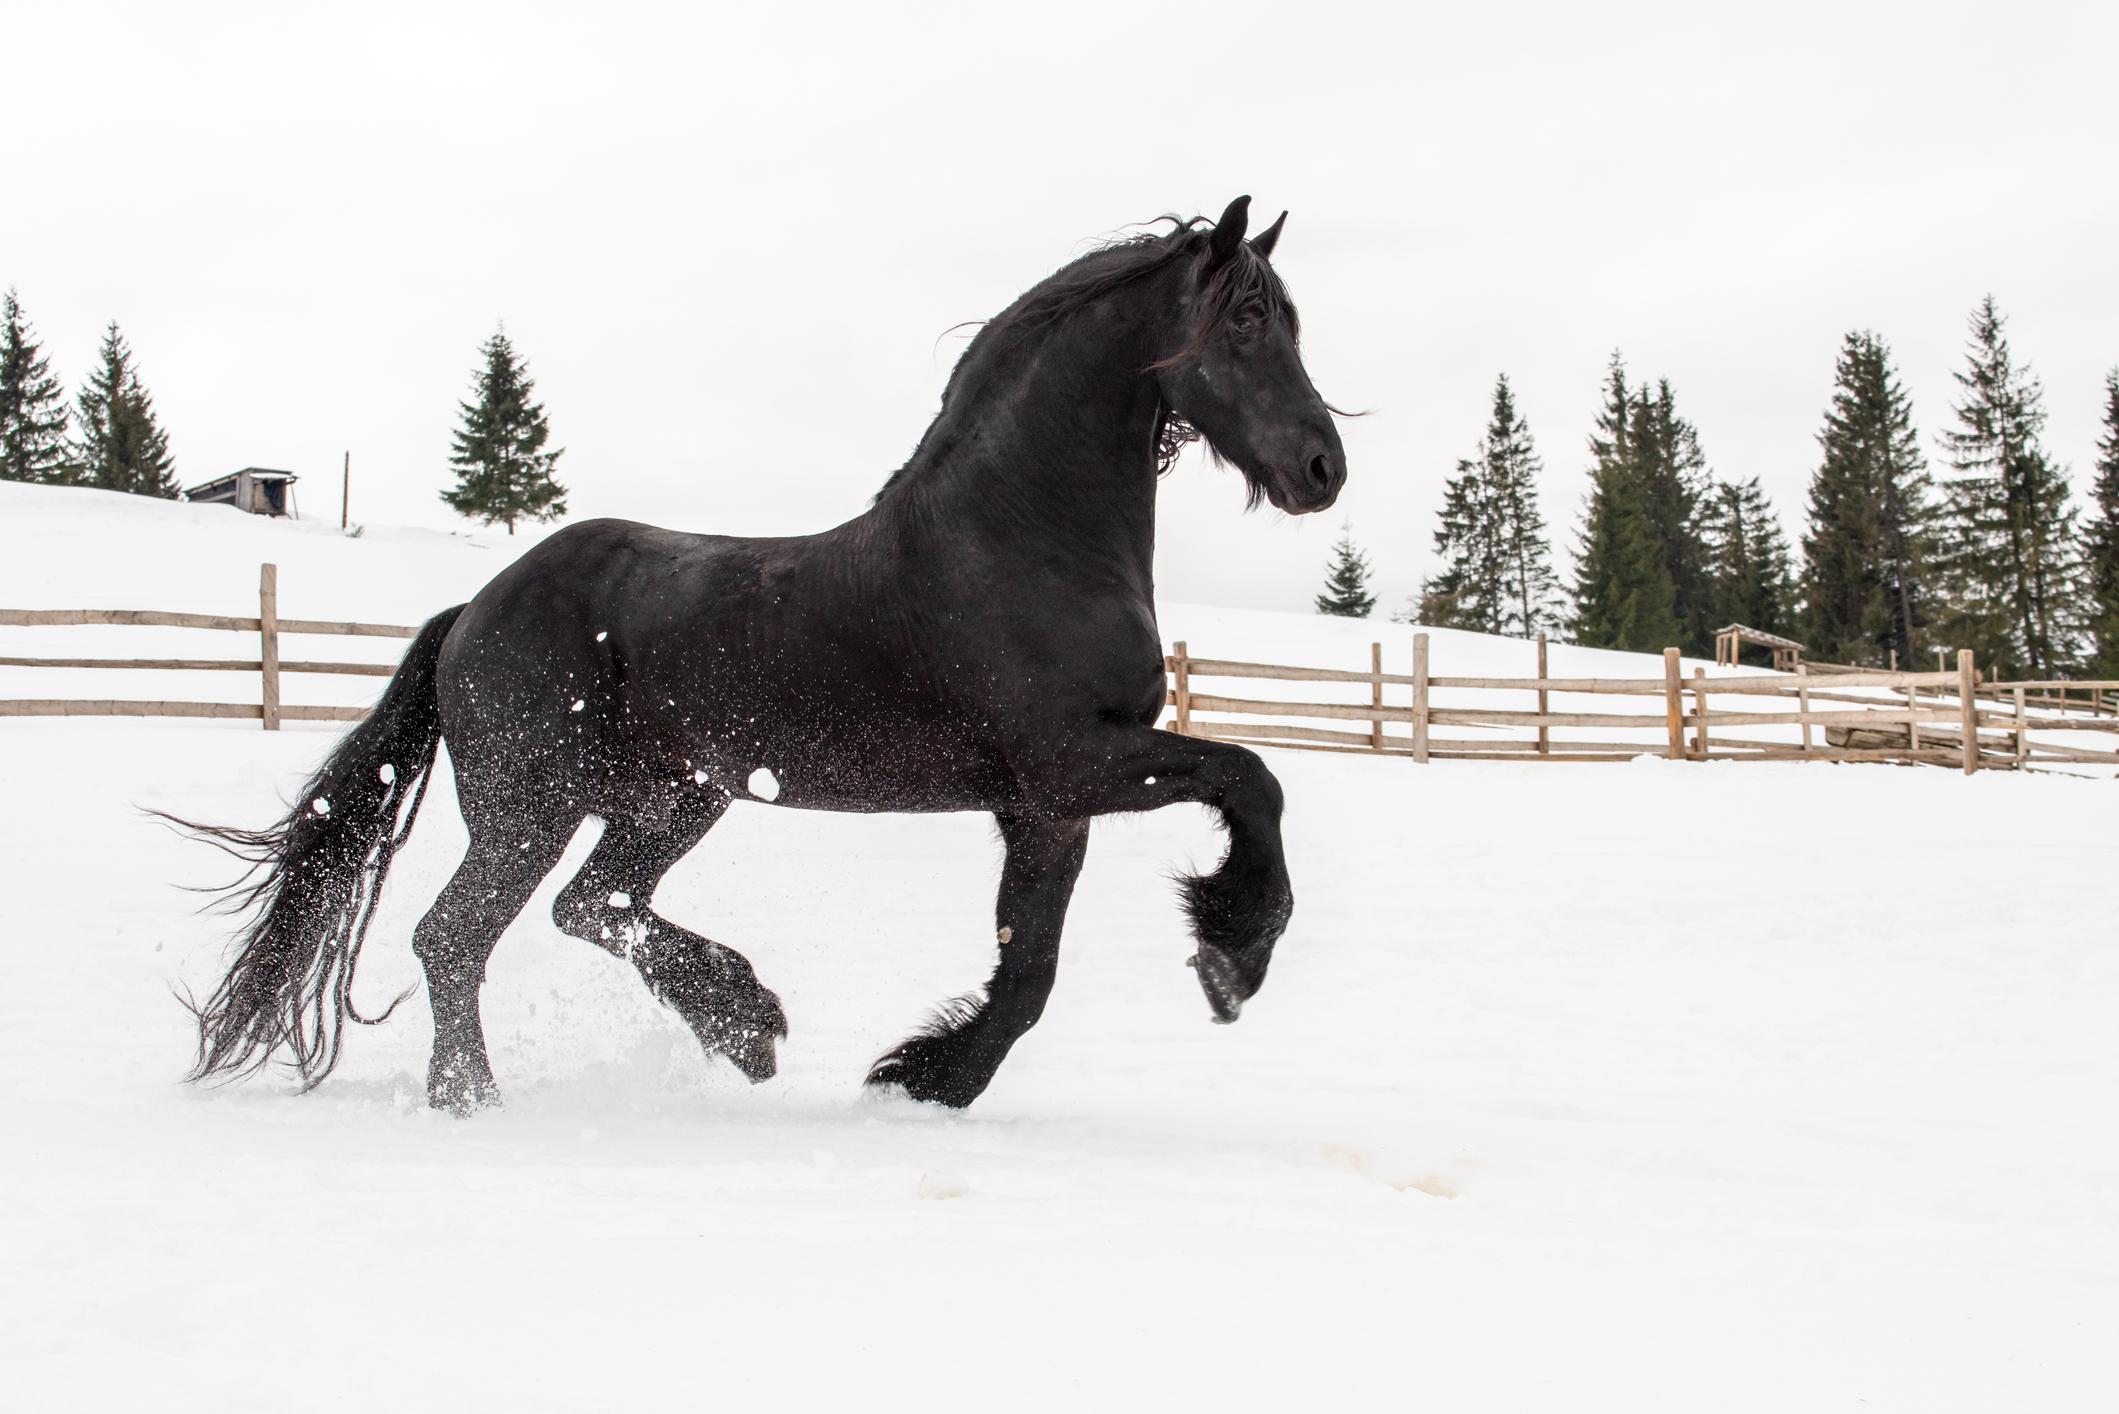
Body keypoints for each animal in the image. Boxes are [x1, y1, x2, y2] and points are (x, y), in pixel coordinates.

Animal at [178, 195, 1348, 1113]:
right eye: (1248, 318)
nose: (1321, 467)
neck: (1020, 537)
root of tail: (473, 609)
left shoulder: (1045, 808)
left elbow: (1030, 975)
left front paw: (924, 1077)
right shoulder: (1071, 763)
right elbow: (1253, 778)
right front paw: (1233, 952)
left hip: (673, 799)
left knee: (591, 906)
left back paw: (743, 1024)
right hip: (531, 805)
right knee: (456, 935)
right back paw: (473, 1096)